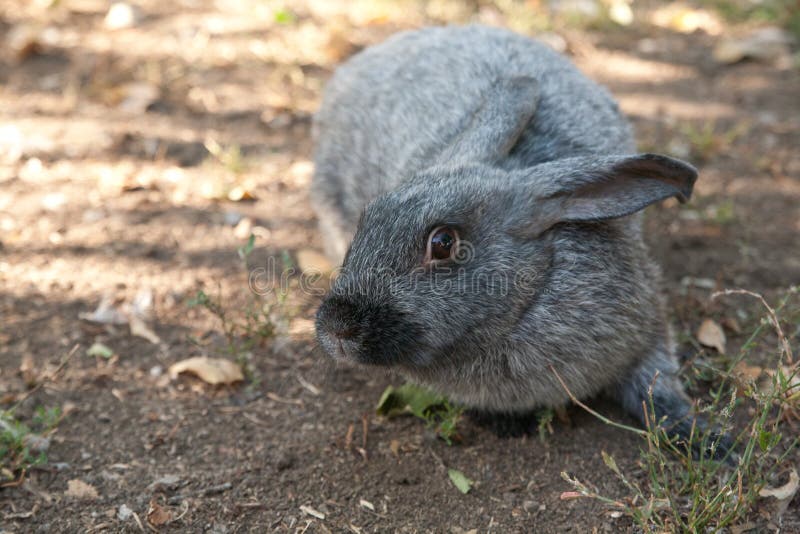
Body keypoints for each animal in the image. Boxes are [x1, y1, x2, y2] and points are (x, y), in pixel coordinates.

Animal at [311, 25, 729, 456]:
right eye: (368, 216)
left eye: (443, 243)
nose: (337, 328)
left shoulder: (646, 333)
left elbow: (657, 387)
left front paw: (707, 440)